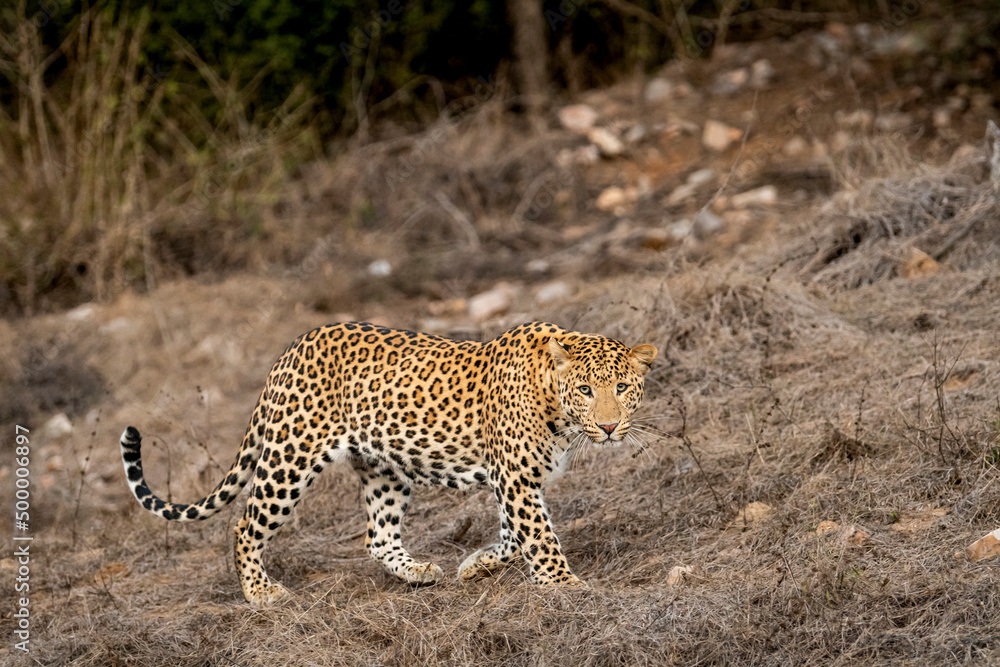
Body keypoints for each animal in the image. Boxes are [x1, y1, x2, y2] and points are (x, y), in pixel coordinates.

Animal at [120, 321, 657, 606]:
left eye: (621, 388)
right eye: (585, 390)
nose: (610, 426)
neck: (556, 406)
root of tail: (288, 351)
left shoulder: (516, 481)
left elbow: (513, 535)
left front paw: (475, 566)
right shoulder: (516, 478)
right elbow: (540, 536)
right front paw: (566, 586)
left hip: (383, 467)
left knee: (377, 536)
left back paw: (417, 571)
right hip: (290, 457)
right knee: (245, 524)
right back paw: (260, 592)